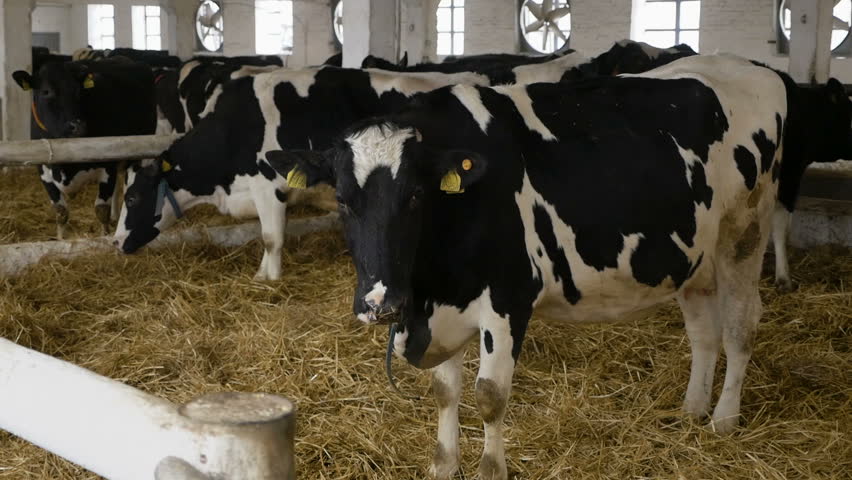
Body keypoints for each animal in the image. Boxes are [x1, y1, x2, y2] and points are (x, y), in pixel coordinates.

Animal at [11, 58, 156, 238]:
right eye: (46, 91)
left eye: (78, 91)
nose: (77, 126)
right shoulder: (42, 169)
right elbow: (61, 211)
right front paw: (60, 238)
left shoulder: (107, 165)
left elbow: (101, 210)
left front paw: (105, 235)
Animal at [264, 54, 852, 479]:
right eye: (343, 200)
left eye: (414, 196)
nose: (378, 303)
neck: (431, 282)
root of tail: (752, 68)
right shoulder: (444, 304)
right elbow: (445, 393)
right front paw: (443, 465)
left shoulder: (507, 299)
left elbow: (489, 397)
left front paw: (490, 469)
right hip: (693, 253)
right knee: (703, 332)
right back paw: (691, 410)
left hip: (743, 235)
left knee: (739, 327)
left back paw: (724, 420)